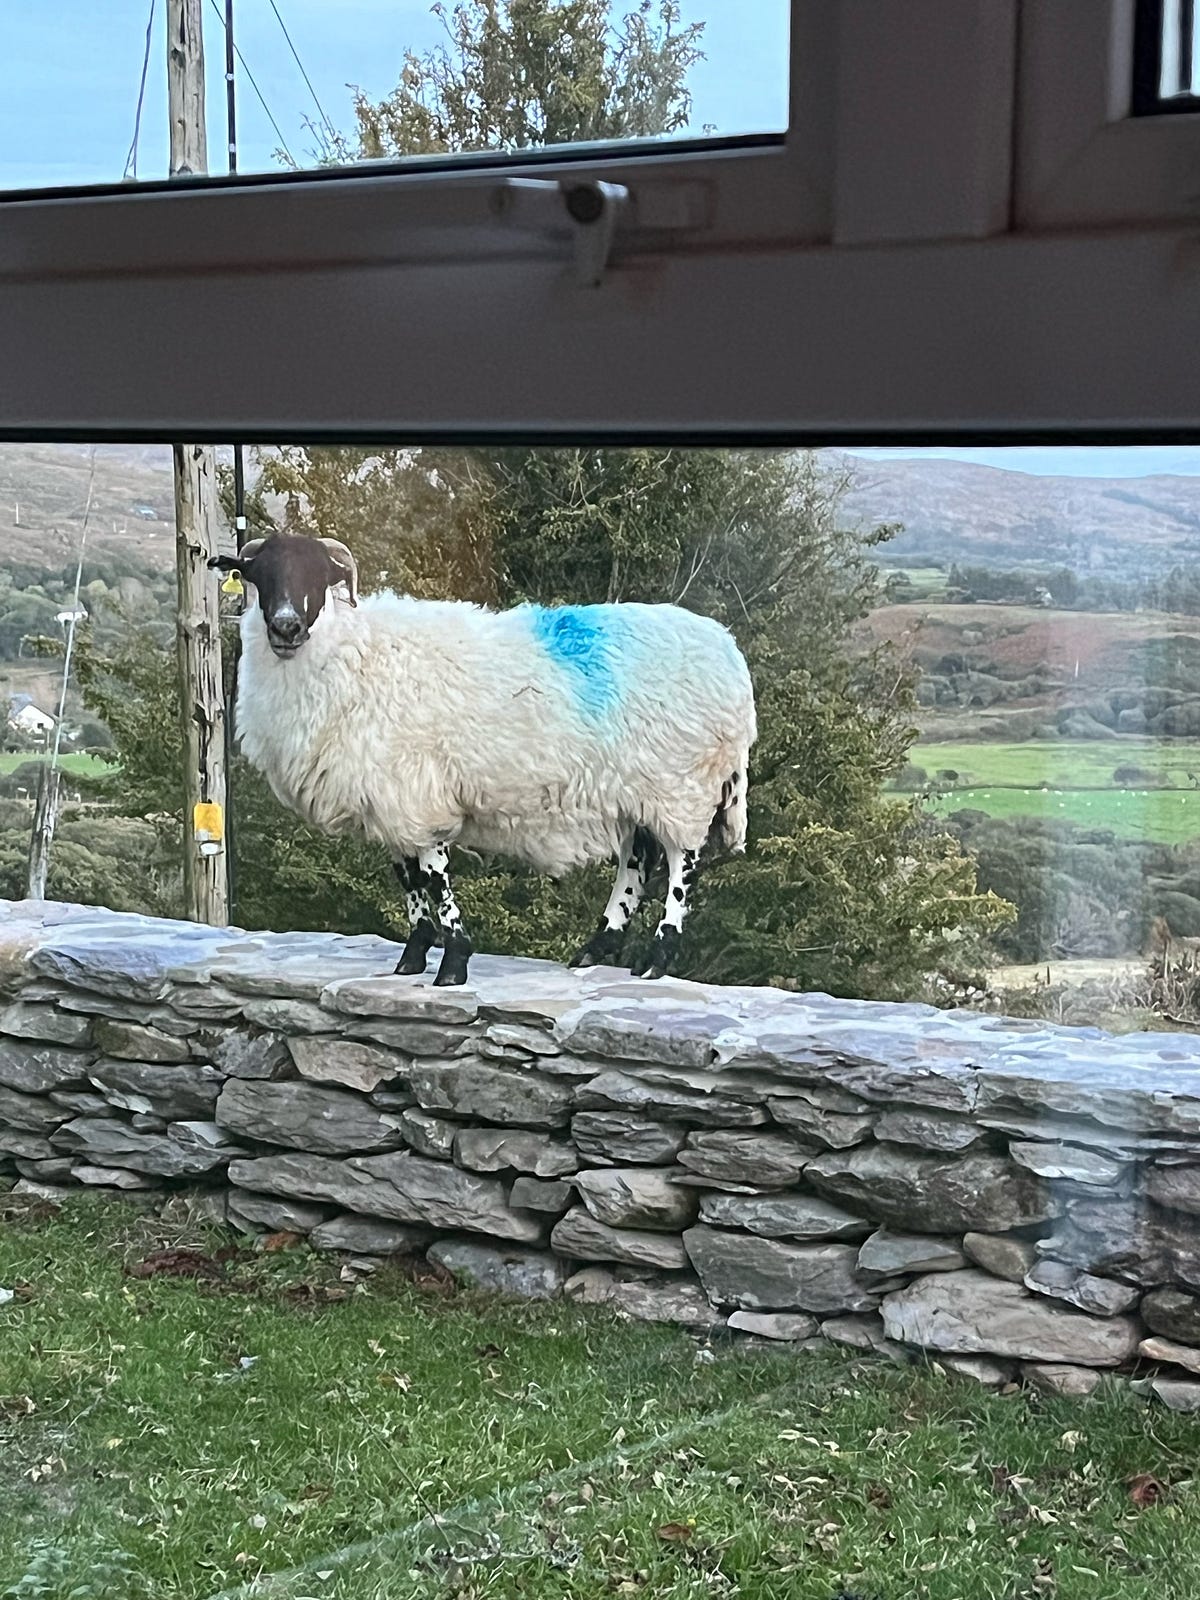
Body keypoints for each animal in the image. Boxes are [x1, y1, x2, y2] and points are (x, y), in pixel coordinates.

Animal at [211, 533, 756, 986]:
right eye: (258, 572)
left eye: (319, 574)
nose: (286, 627)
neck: (355, 653)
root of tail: (727, 650)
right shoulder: (389, 800)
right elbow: (408, 880)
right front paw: (413, 956)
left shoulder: (420, 798)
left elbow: (434, 878)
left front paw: (453, 961)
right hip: (633, 788)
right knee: (637, 863)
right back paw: (596, 947)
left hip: (682, 783)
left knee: (681, 865)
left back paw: (657, 957)